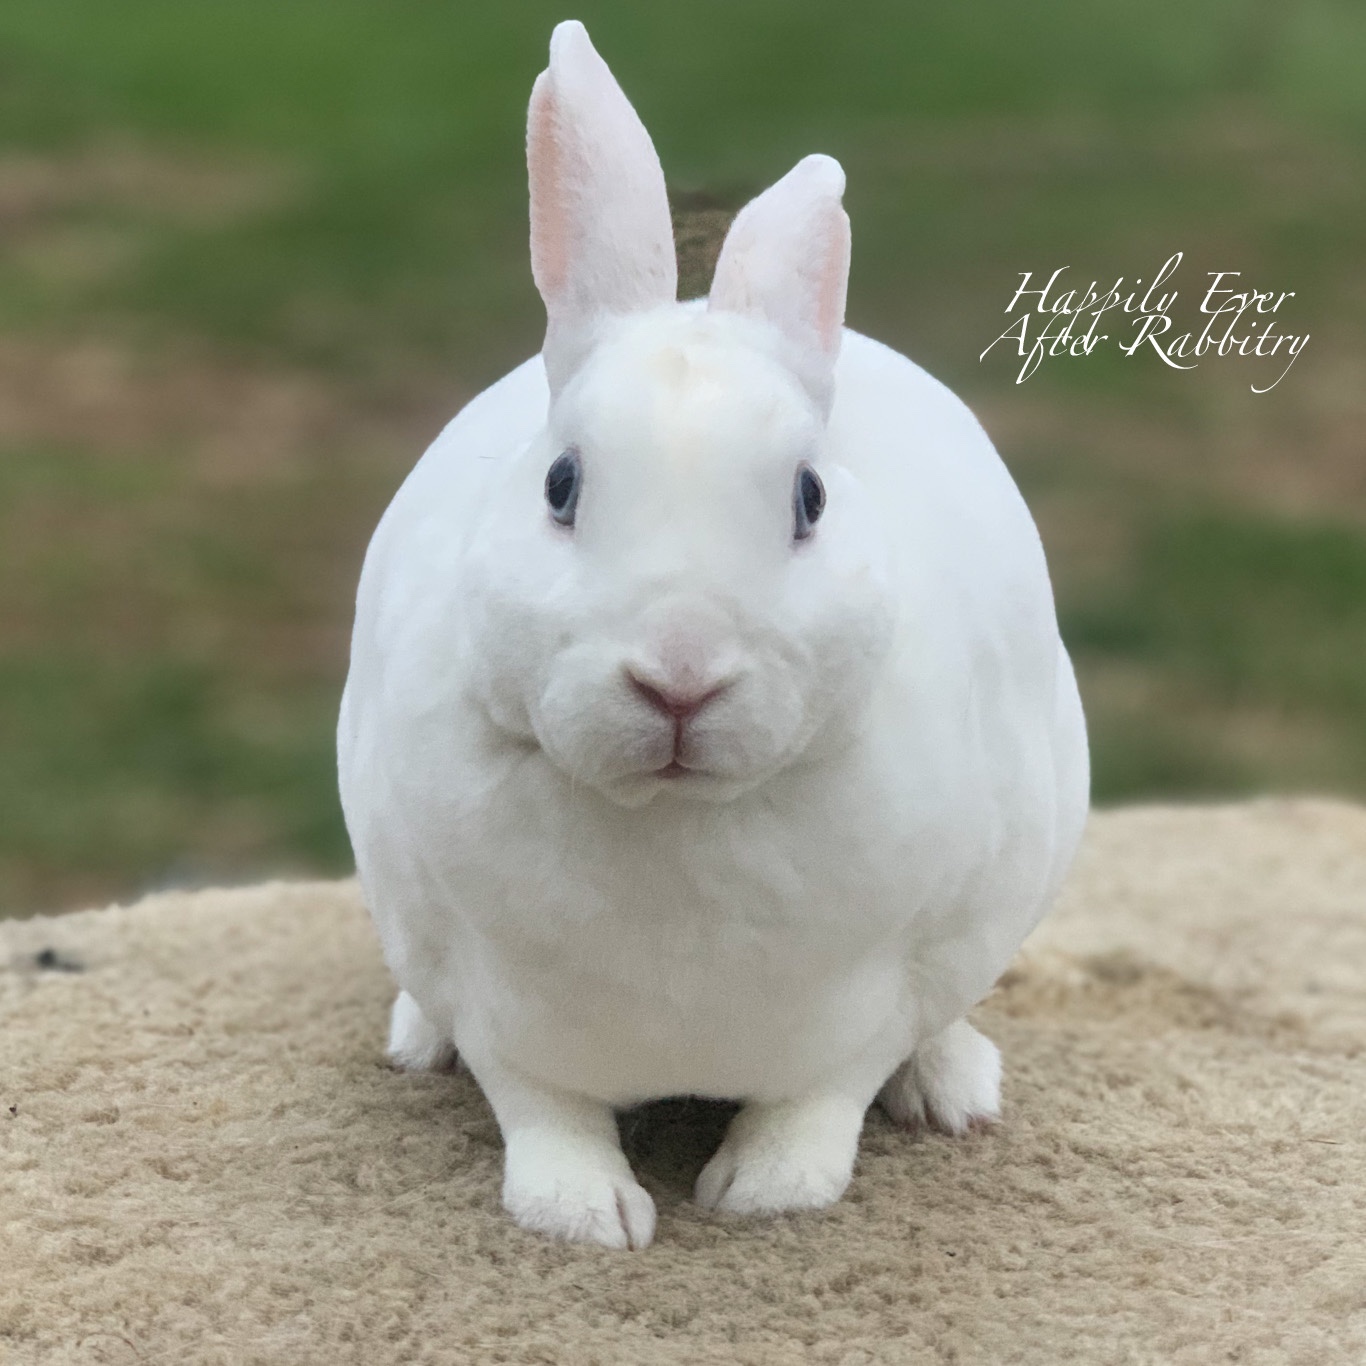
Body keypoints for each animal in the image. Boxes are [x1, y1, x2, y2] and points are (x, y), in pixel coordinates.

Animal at [337, 19, 1089, 1251]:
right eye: (560, 486)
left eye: (808, 499)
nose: (680, 678)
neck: (678, 818)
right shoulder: (499, 1002)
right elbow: (539, 1107)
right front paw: (582, 1215)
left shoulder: (863, 1006)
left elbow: (819, 1101)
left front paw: (763, 1194)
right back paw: (416, 1045)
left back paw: (955, 1091)